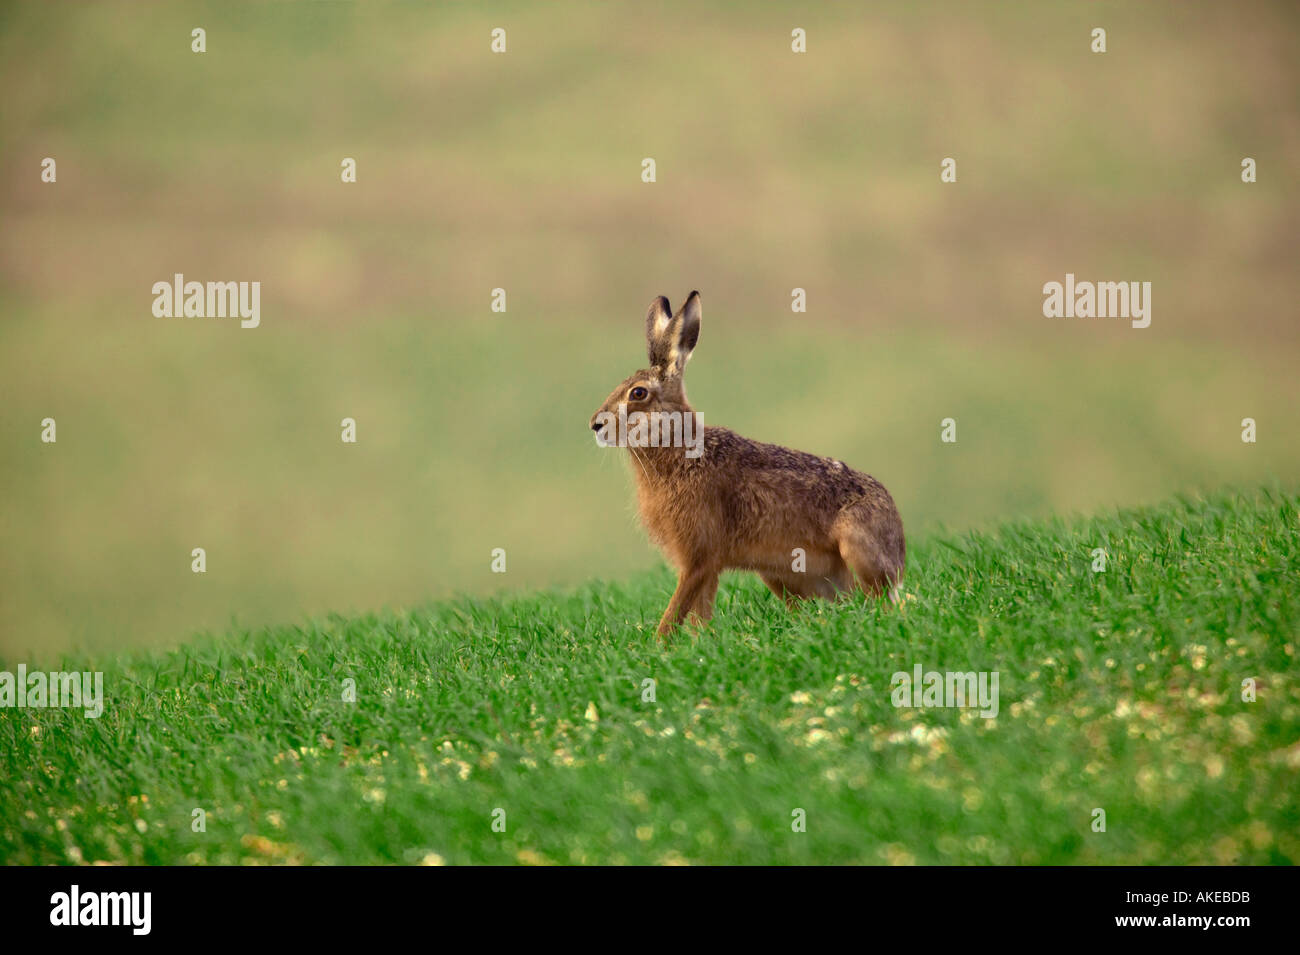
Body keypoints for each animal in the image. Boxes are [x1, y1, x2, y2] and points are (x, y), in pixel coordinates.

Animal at [590, 291, 905, 638]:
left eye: (638, 393)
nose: (595, 425)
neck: (678, 447)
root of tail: (899, 545)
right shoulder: (704, 566)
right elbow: (700, 611)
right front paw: (699, 642)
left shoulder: (698, 557)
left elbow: (677, 609)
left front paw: (659, 644)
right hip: (776, 574)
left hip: (855, 542)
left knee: (878, 600)